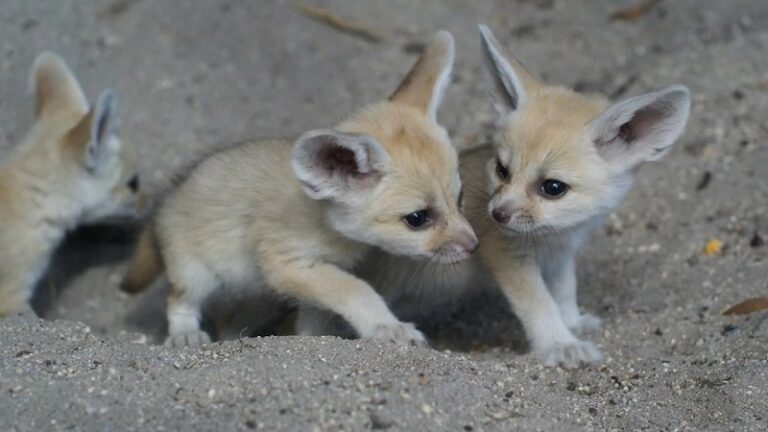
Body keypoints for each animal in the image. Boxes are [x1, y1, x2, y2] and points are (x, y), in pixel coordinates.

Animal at [119, 31, 478, 347]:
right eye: (417, 218)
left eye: (460, 199)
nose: (473, 246)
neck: (323, 218)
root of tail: (166, 199)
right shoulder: (289, 264)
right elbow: (355, 289)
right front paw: (387, 326)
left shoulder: (309, 276)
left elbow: (316, 318)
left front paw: (312, 341)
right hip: (197, 275)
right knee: (178, 300)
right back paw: (186, 334)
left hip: (256, 294)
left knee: (227, 319)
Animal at [296, 26, 691, 368]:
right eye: (502, 169)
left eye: (553, 188)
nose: (496, 214)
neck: (555, 237)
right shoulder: (509, 258)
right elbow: (540, 304)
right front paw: (560, 343)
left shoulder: (562, 254)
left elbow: (564, 290)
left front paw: (573, 323)